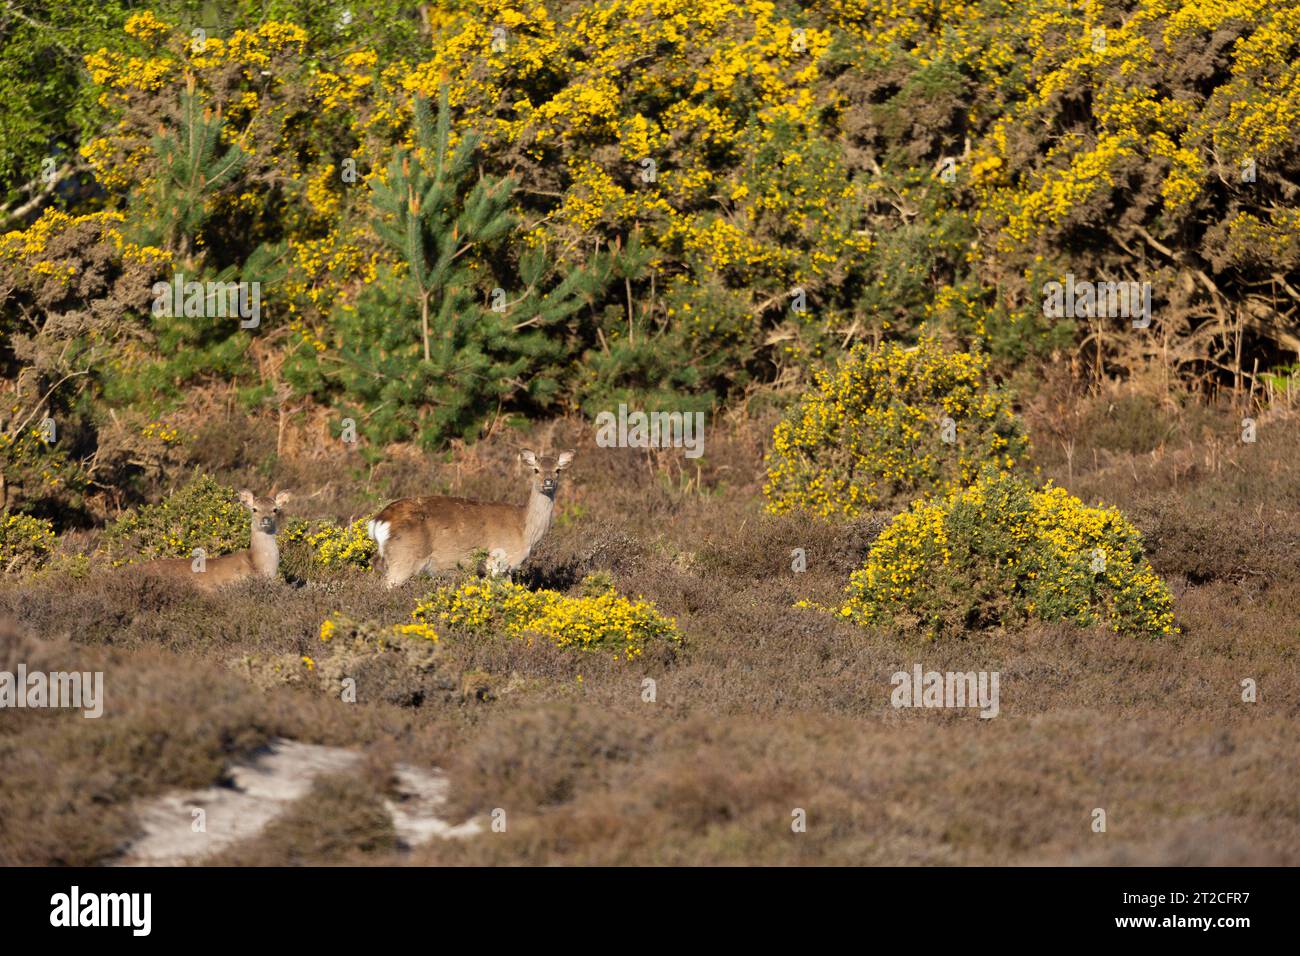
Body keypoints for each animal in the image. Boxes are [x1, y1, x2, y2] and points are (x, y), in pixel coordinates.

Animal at [367, 449, 574, 589]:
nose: (548, 482)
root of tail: (379, 520)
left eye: (558, 470)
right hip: (403, 557)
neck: (524, 530)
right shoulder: (497, 560)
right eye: (536, 470)